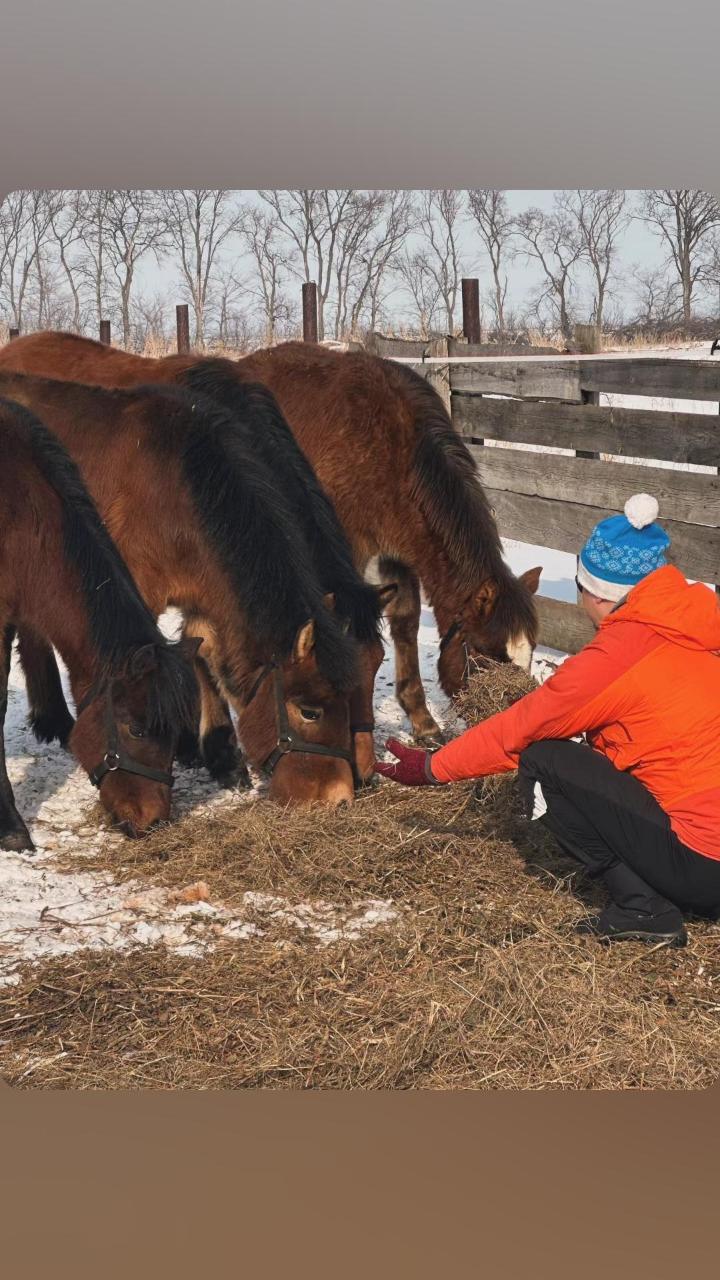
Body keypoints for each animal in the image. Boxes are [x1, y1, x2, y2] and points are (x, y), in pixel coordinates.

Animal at [0, 332, 538, 747]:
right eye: (487, 657)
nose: (513, 729)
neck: (383, 438)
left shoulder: (397, 551)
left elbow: (404, 621)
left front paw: (422, 721)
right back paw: (54, 719)